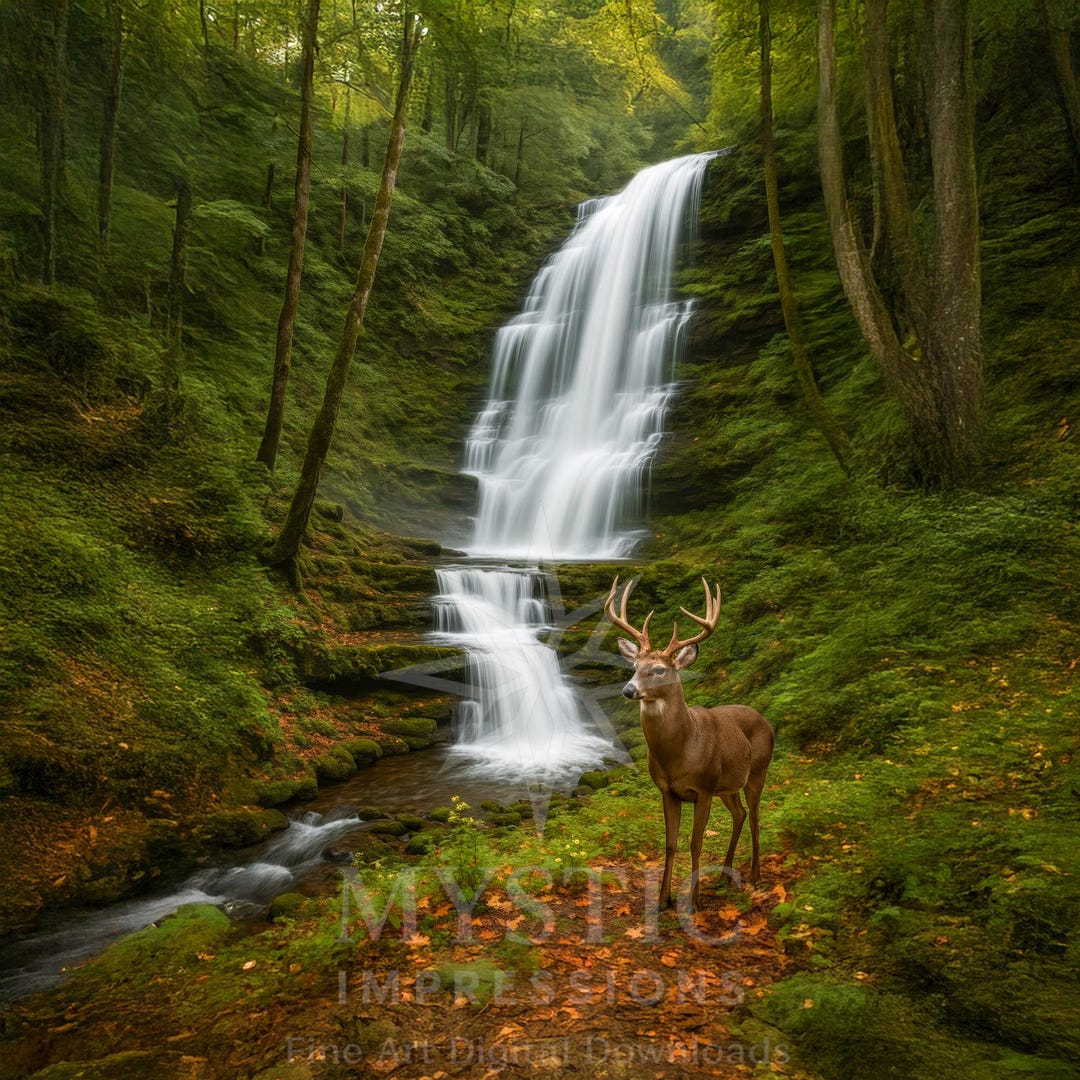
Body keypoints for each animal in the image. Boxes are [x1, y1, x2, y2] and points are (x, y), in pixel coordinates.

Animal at [604, 576, 774, 911]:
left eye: (659, 669)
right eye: (634, 666)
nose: (628, 690)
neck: (680, 752)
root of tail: (764, 718)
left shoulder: (704, 787)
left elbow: (695, 843)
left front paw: (693, 901)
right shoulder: (668, 790)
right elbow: (670, 843)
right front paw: (662, 900)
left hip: (757, 771)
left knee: (756, 816)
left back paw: (755, 875)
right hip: (727, 785)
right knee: (739, 814)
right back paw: (723, 877)